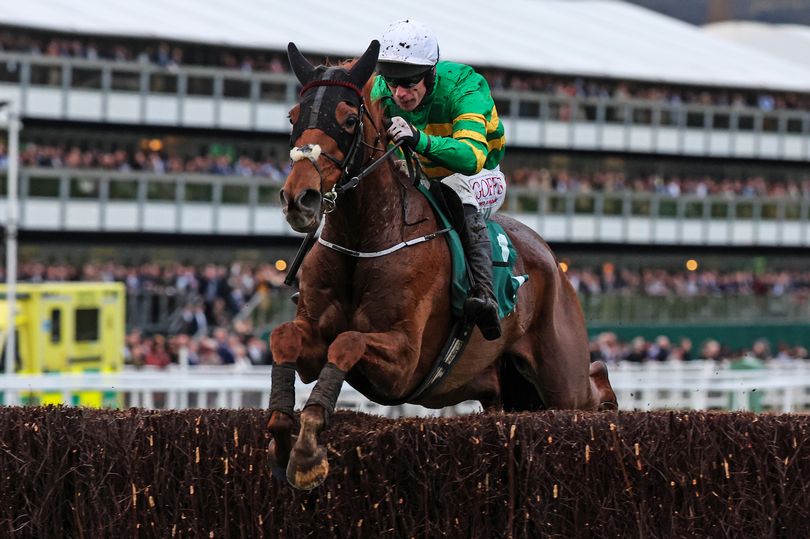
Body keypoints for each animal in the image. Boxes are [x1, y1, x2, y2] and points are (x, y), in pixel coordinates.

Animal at [268, 40, 617, 490]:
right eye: (293, 117)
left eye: (348, 119)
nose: (300, 198)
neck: (365, 240)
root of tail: (553, 263)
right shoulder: (314, 334)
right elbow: (284, 338)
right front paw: (282, 443)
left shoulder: (403, 361)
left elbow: (347, 342)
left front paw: (308, 452)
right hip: (504, 387)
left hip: (562, 375)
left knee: (596, 379)